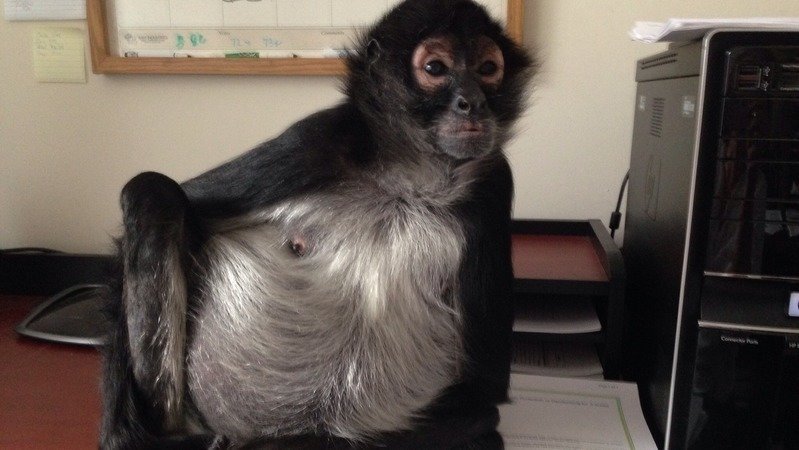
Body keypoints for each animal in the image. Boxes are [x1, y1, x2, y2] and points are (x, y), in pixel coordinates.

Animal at [99, 0, 533, 448]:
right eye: (435, 68)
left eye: (487, 68)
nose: (473, 102)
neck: (408, 182)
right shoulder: (319, 138)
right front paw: (123, 434)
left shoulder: (492, 181)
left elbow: (484, 392)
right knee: (152, 191)